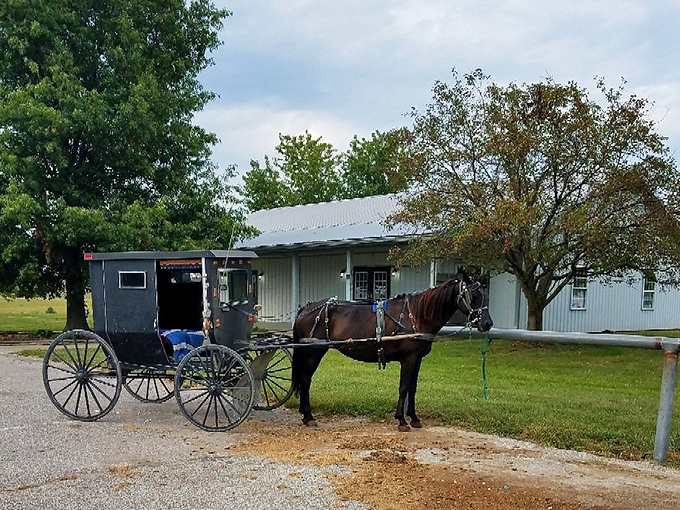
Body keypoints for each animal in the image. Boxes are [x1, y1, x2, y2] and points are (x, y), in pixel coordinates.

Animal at [291, 273, 493, 431]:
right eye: (472, 295)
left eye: (485, 295)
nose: (487, 323)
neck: (417, 315)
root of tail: (306, 308)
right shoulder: (408, 359)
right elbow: (403, 387)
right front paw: (402, 420)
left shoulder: (417, 359)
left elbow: (412, 388)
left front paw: (414, 418)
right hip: (313, 353)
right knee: (305, 380)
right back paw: (308, 416)